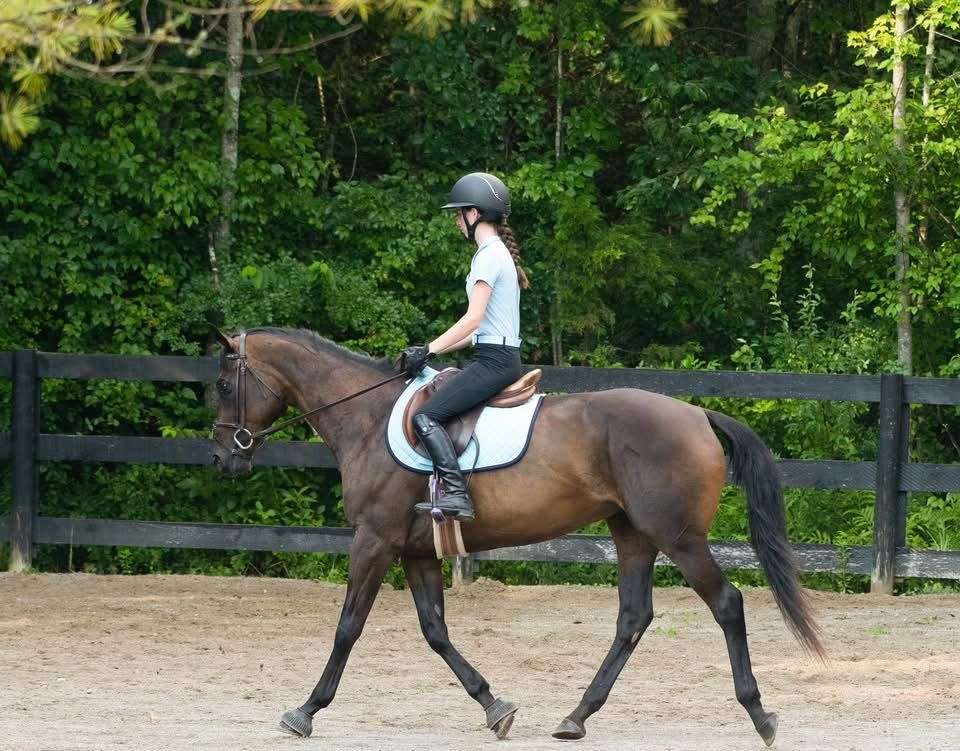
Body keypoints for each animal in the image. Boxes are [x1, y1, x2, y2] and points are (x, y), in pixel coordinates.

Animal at [210, 327, 823, 746]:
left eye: (220, 385)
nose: (221, 459)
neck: (366, 419)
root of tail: (697, 414)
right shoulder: (416, 552)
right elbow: (435, 631)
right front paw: (494, 705)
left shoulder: (374, 541)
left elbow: (347, 628)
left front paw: (305, 711)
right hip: (632, 534)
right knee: (633, 617)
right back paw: (576, 716)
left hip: (679, 536)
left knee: (726, 604)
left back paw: (760, 716)